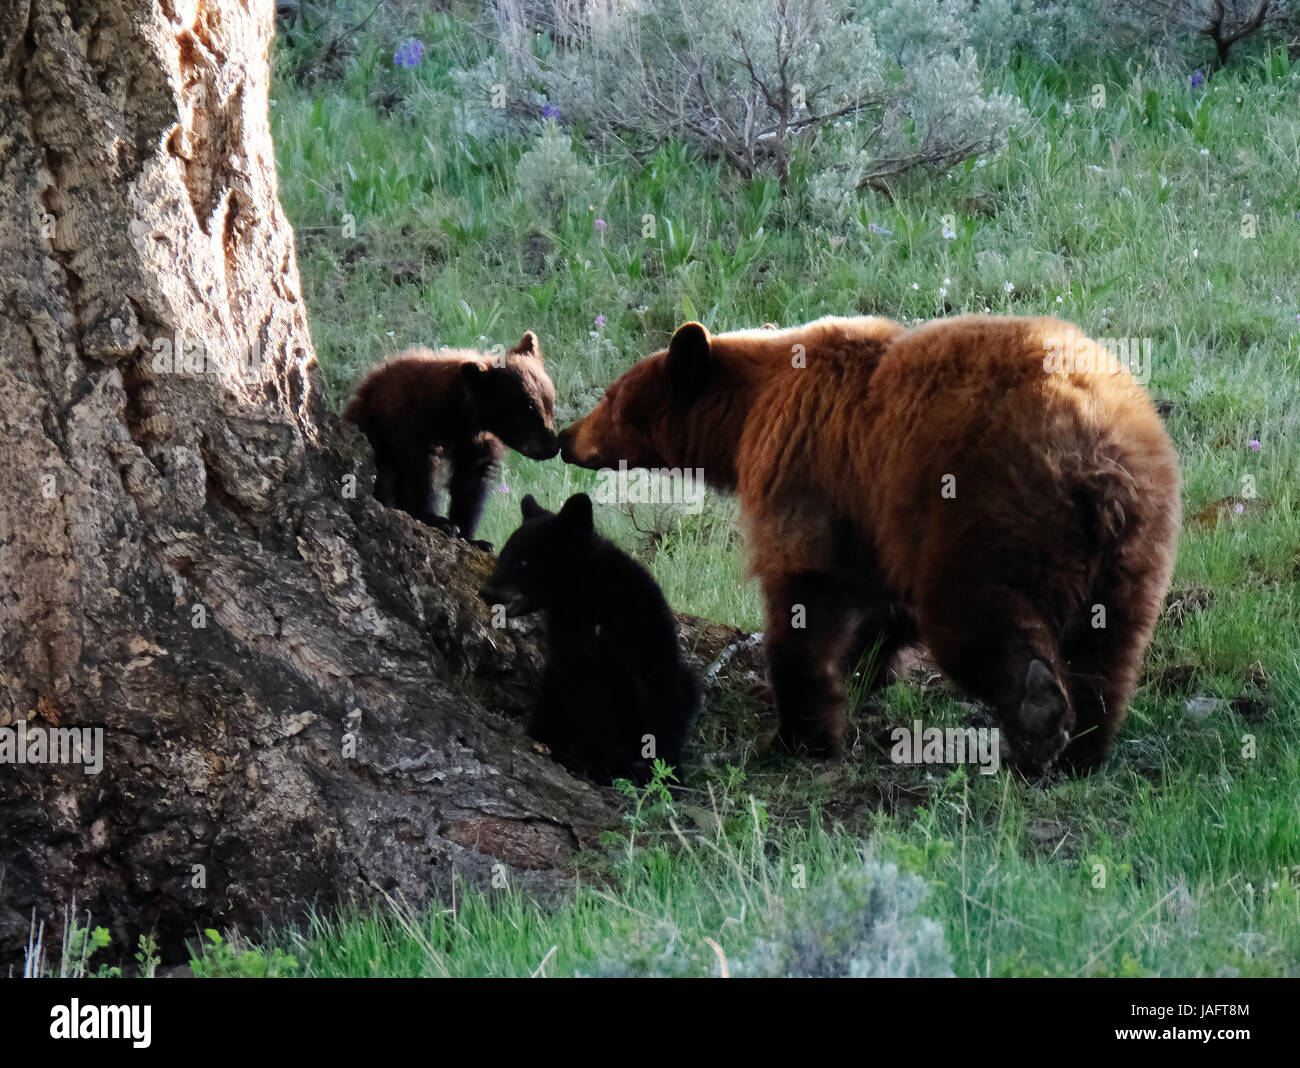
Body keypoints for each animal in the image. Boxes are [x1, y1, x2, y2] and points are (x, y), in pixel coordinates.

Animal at [343, 332, 559, 548]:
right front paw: (435, 519)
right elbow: (420, 471)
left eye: (549, 404)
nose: (553, 446)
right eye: (528, 411)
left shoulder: (479, 443)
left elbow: (472, 484)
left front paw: (472, 537)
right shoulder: (413, 425)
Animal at [478, 492, 700, 785]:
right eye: (504, 555)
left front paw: (661, 771)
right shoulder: (570, 642)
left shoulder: (644, 638)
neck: (589, 590)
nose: (485, 592)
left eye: (524, 562)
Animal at [557, 315, 1181, 774]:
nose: (565, 437)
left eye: (610, 397)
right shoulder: (876, 512)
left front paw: (798, 734)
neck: (750, 411)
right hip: (1137, 544)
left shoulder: (805, 466)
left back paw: (1039, 718)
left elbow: (804, 590)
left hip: (988, 509)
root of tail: (1094, 450)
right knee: (1110, 648)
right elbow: (878, 602)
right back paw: (1086, 748)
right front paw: (864, 669)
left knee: (972, 620)